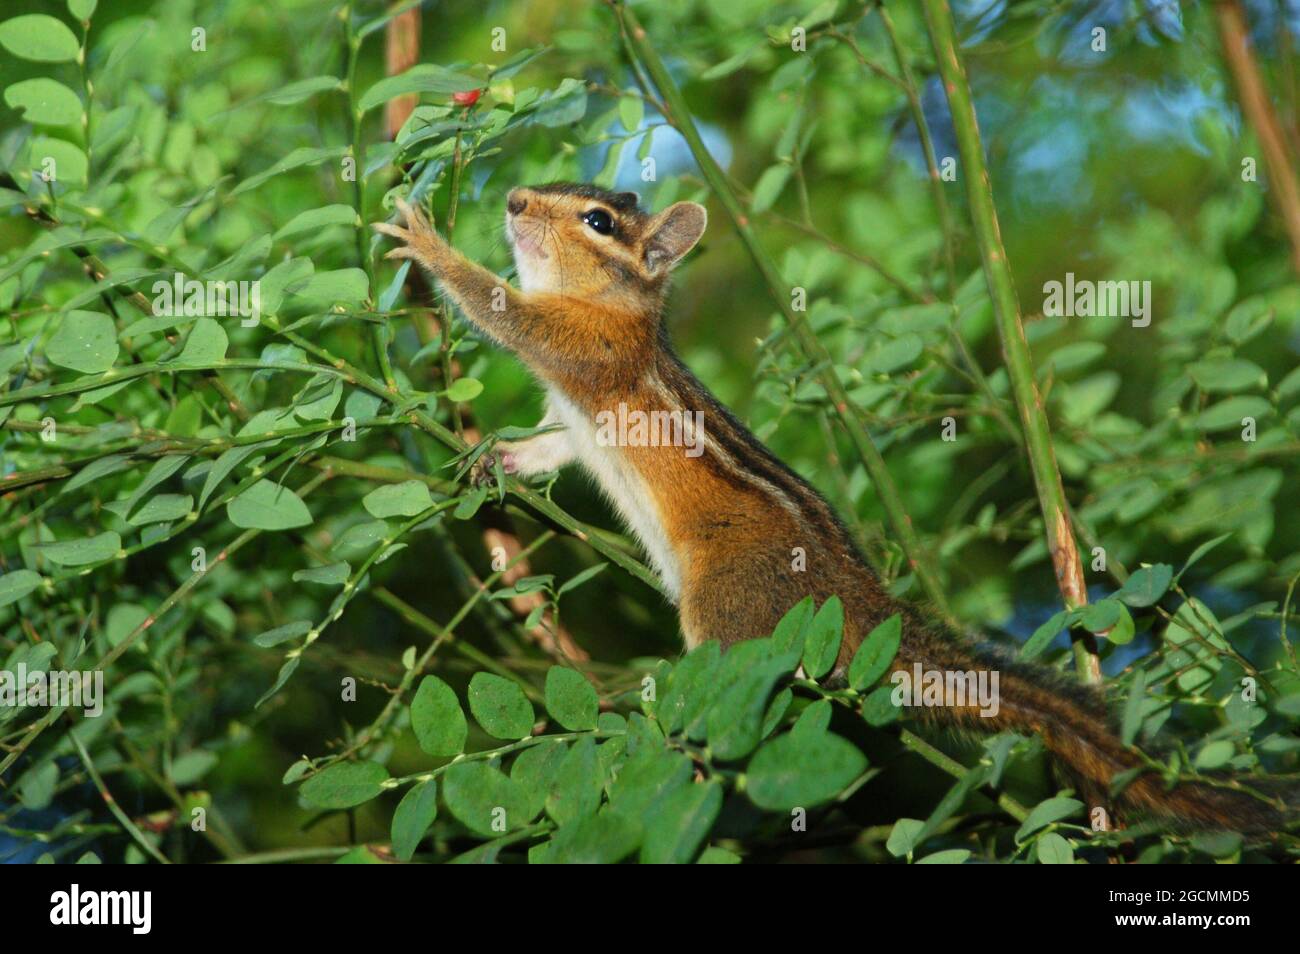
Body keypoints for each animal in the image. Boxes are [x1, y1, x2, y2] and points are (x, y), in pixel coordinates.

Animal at [376, 182, 1291, 835]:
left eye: (596, 219)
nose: (513, 201)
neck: (616, 306)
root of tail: (864, 598)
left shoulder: (581, 349)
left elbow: (501, 311)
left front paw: (427, 243)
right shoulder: (573, 415)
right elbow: (554, 447)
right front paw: (496, 458)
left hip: (729, 601)